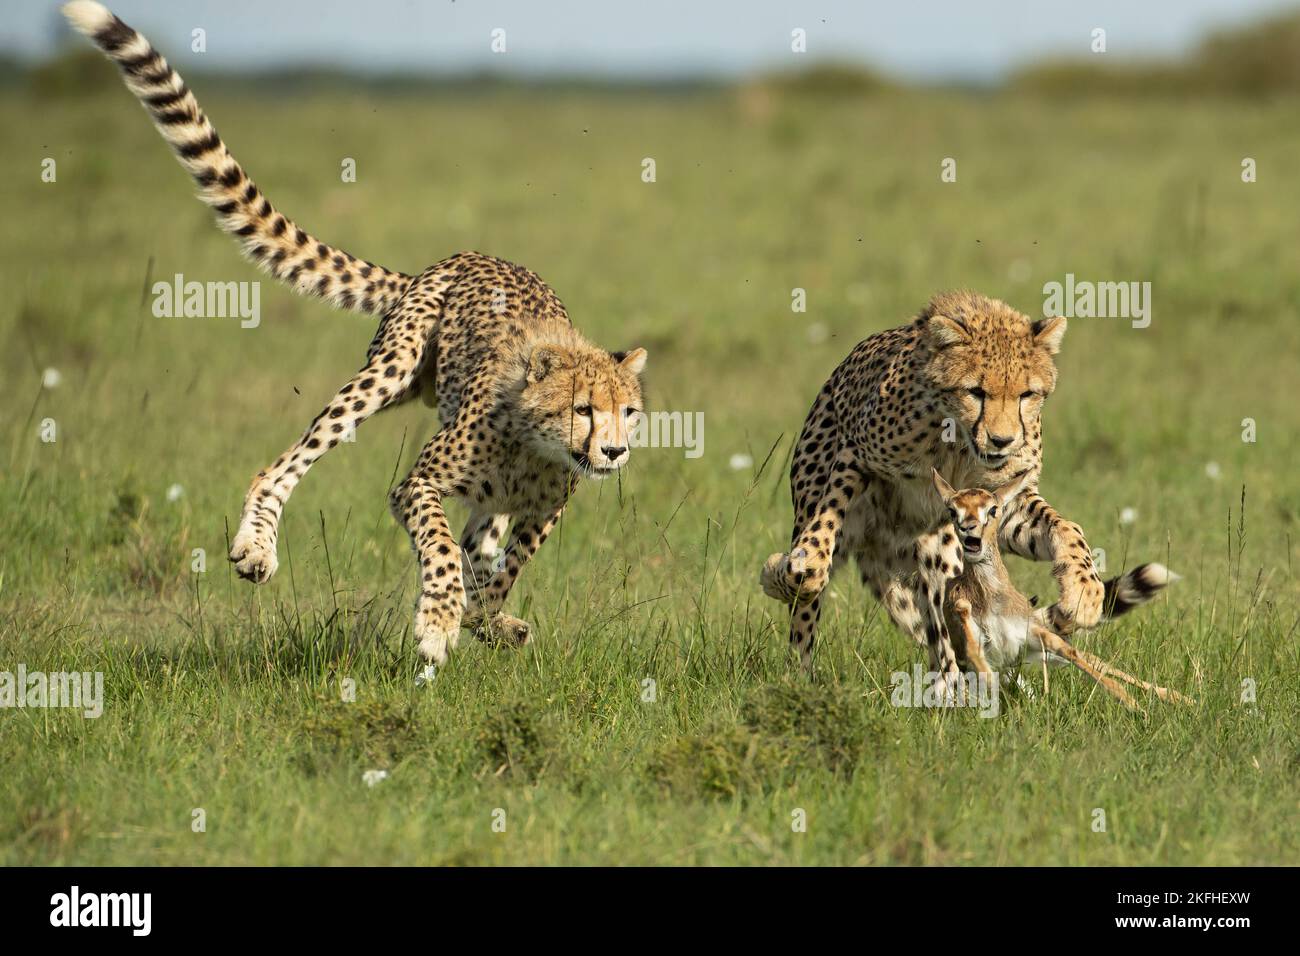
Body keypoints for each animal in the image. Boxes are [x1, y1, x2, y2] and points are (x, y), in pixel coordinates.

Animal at [65, 1, 648, 666]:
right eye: (583, 409)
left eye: (628, 412)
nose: (614, 451)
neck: (534, 449)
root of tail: (454, 259)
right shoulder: (417, 486)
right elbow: (442, 549)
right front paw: (439, 621)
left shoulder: (540, 510)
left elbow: (500, 569)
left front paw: (486, 618)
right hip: (387, 373)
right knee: (287, 462)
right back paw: (256, 546)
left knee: (480, 541)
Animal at [761, 289, 1105, 683]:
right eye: (975, 391)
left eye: (1026, 394)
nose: (1002, 441)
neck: (958, 441)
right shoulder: (855, 454)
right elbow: (824, 526)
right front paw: (801, 567)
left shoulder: (1001, 503)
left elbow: (1066, 528)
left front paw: (1084, 593)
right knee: (807, 618)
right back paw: (802, 672)